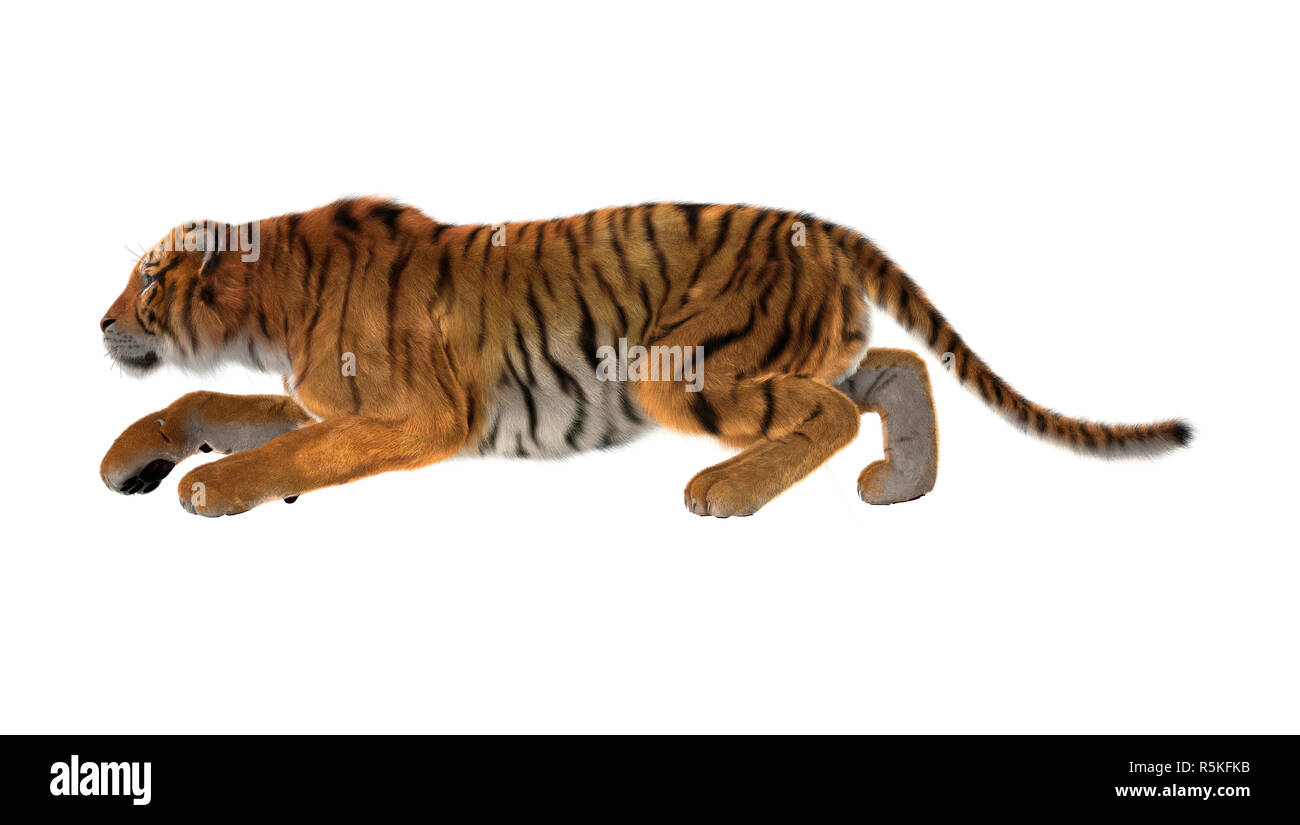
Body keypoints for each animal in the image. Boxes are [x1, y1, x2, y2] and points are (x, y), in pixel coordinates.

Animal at [99, 197, 1191, 517]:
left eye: (150, 279)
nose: (100, 323)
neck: (273, 309)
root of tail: (815, 229)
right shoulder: (327, 402)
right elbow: (200, 406)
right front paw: (131, 461)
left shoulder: (415, 413)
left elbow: (281, 449)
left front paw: (214, 488)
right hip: (787, 351)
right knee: (896, 369)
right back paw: (901, 487)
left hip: (681, 370)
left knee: (836, 408)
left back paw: (727, 491)